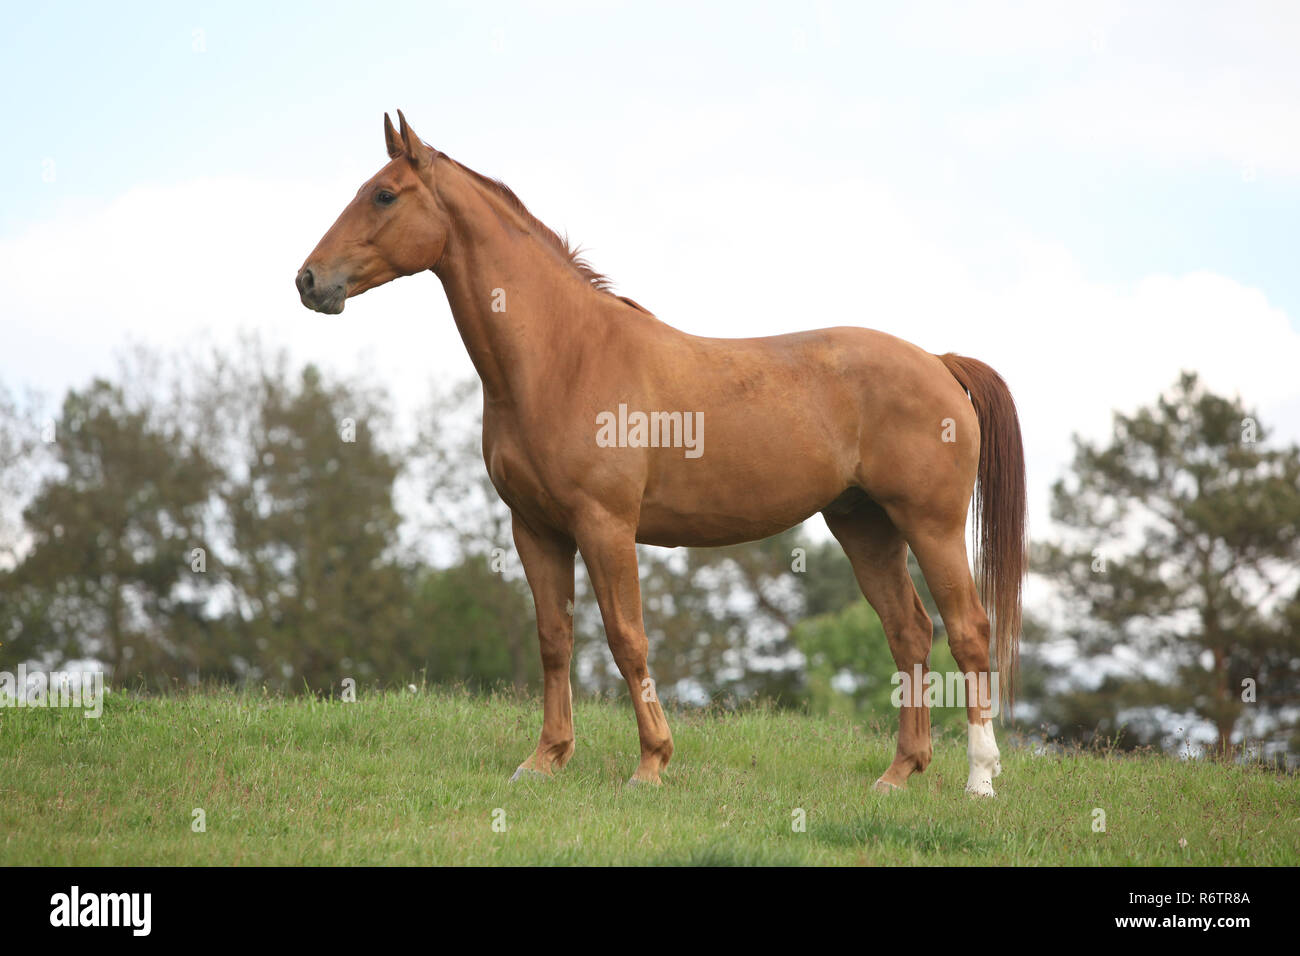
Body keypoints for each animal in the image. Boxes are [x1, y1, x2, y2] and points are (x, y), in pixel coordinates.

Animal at [296, 111, 1027, 796]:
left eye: (384, 195)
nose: (308, 280)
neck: (566, 356)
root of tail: (937, 361)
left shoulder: (606, 526)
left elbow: (627, 637)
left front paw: (651, 763)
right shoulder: (535, 528)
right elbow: (554, 639)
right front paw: (545, 759)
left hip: (929, 524)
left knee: (968, 630)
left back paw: (980, 778)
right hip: (865, 525)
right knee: (909, 632)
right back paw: (900, 772)